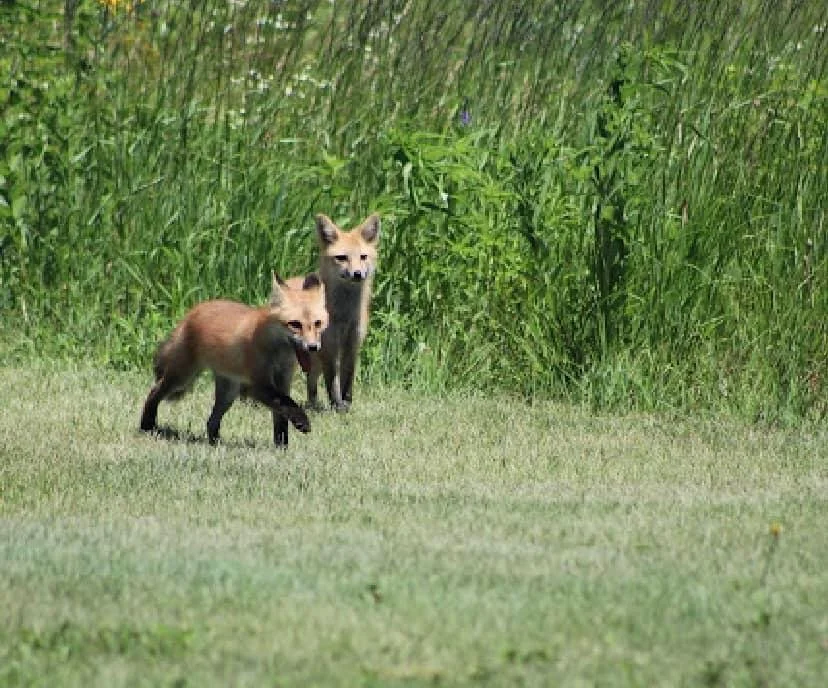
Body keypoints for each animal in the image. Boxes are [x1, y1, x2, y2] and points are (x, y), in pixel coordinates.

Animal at [139, 273, 329, 447]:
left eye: (317, 323)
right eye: (295, 324)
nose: (313, 347)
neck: (276, 351)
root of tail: (192, 312)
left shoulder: (282, 381)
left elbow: (281, 417)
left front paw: (281, 447)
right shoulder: (257, 386)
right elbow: (286, 403)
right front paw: (301, 421)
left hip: (228, 393)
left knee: (211, 422)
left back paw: (215, 443)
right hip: (182, 377)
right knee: (154, 392)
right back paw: (146, 426)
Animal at [286, 212, 380, 412]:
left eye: (363, 257)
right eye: (341, 258)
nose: (357, 274)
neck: (345, 315)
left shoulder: (352, 344)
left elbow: (347, 378)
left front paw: (347, 403)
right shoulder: (329, 347)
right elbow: (332, 381)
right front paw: (337, 405)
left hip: (314, 356)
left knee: (311, 381)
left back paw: (313, 405)